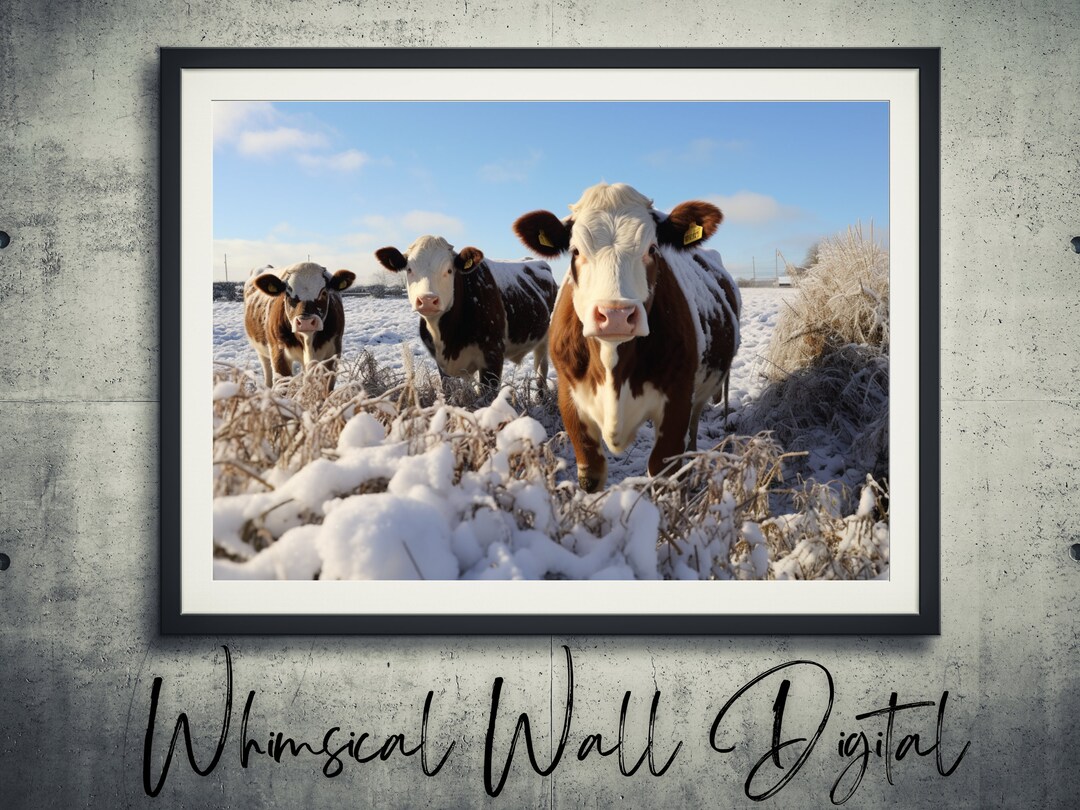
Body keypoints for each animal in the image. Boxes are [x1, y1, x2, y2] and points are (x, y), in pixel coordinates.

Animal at [243, 261, 356, 390]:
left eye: (324, 292)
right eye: (287, 294)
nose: (306, 322)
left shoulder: (333, 353)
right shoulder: (278, 353)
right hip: (262, 351)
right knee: (267, 371)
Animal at [374, 235, 558, 394]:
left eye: (449, 270)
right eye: (409, 269)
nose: (427, 300)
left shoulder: (493, 356)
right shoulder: (443, 366)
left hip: (545, 339)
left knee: (541, 371)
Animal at [513, 182, 741, 492]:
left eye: (652, 248)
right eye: (575, 251)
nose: (616, 315)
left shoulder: (678, 400)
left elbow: (664, 473)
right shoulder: (569, 400)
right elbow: (591, 477)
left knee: (694, 425)